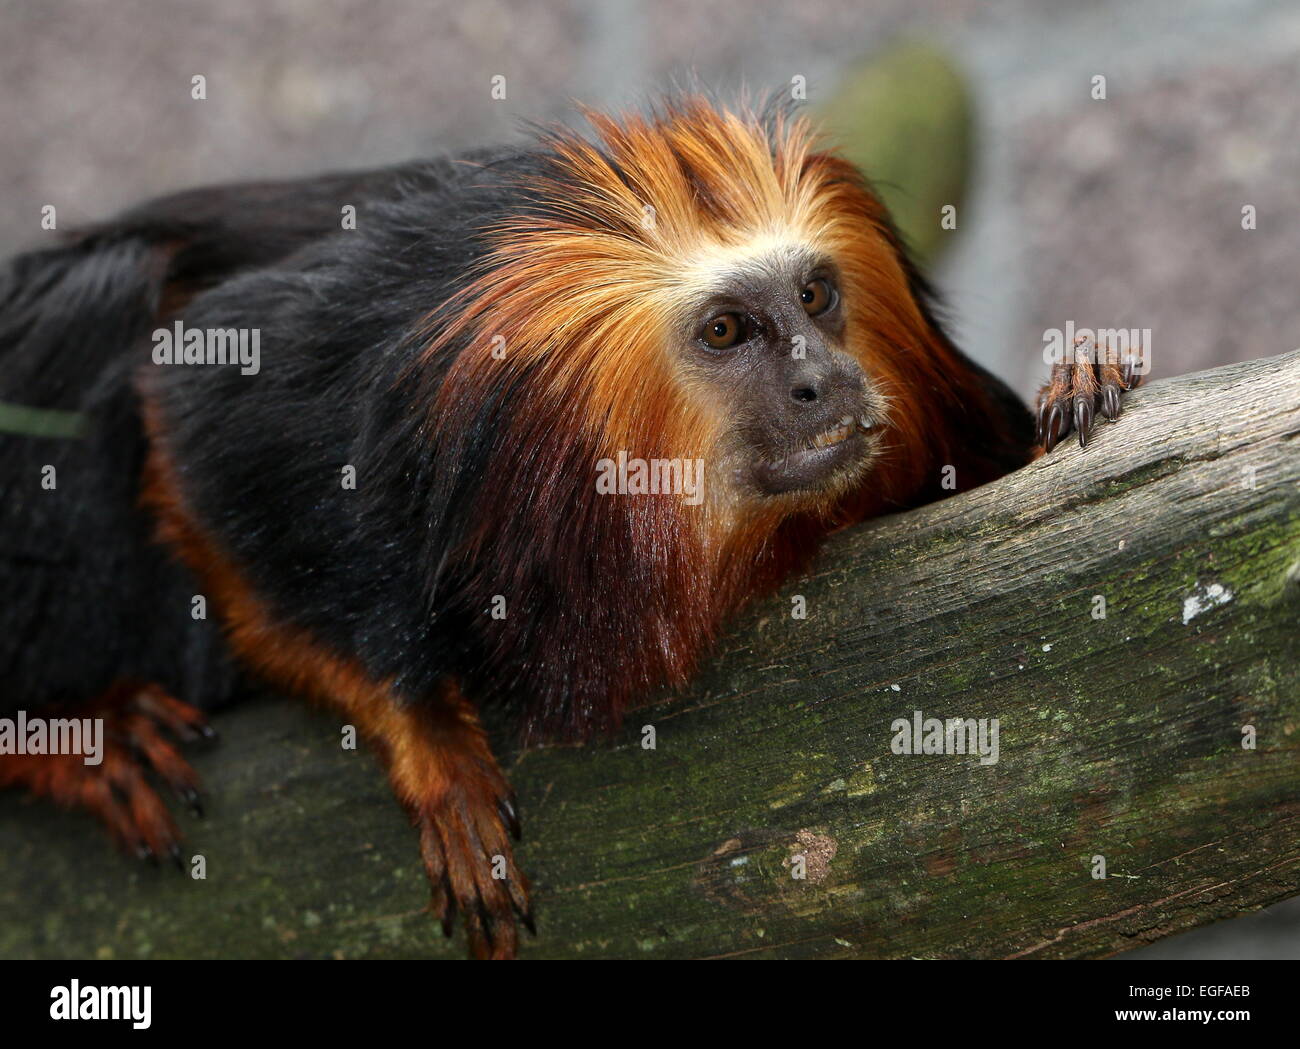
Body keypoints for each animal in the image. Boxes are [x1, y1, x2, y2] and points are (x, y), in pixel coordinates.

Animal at [0, 97, 1139, 958]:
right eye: (728, 330)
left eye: (818, 297)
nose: (828, 381)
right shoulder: (356, 348)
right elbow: (188, 418)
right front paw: (424, 731)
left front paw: (1080, 383)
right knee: (104, 291)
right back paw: (67, 735)